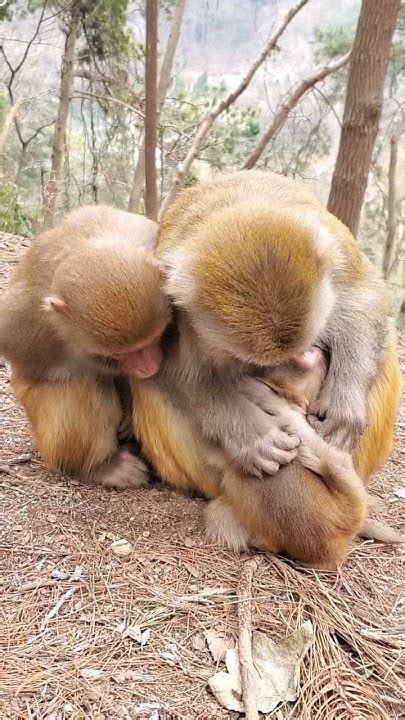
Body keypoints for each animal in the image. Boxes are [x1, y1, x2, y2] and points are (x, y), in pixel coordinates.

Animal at [0, 205, 171, 489]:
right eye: (118, 354)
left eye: (154, 339)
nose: (147, 368)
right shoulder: (24, 320)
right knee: (84, 385)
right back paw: (101, 467)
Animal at [131, 170, 402, 566]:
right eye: (257, 364)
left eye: (303, 348)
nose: (308, 356)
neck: (245, 209)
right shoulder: (175, 305)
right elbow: (175, 371)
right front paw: (251, 437)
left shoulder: (334, 242)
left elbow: (363, 293)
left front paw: (344, 404)